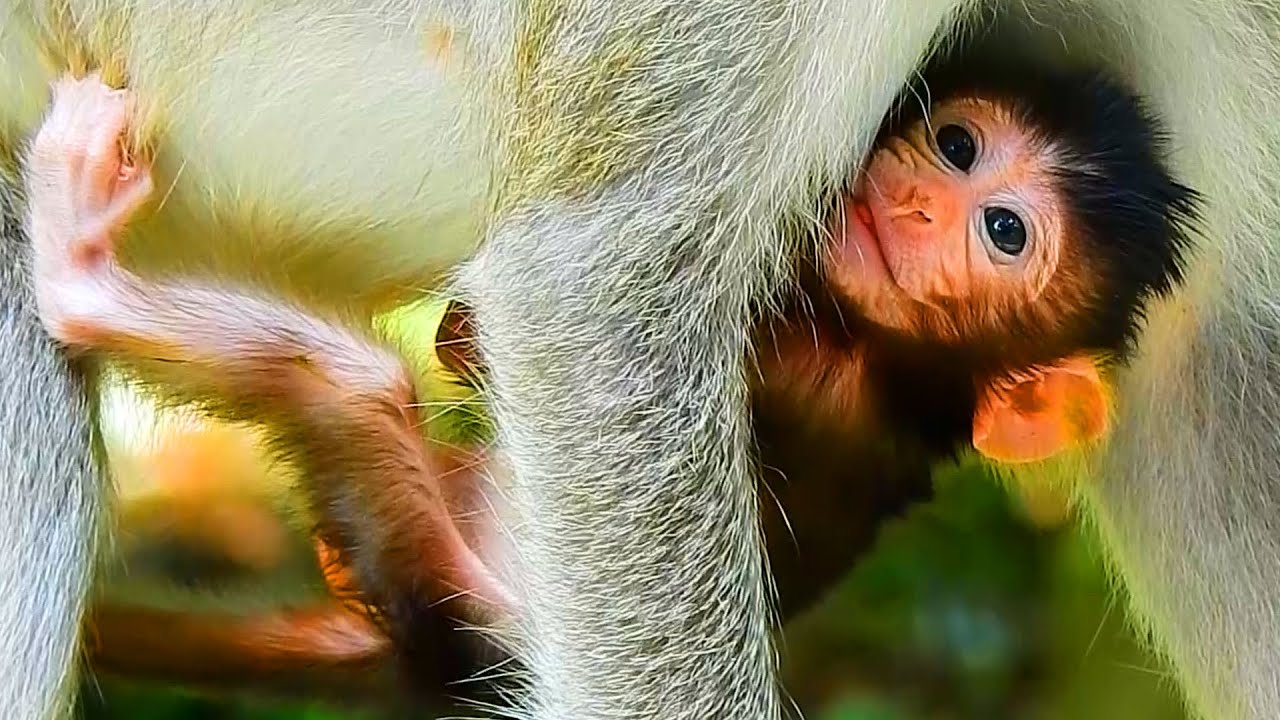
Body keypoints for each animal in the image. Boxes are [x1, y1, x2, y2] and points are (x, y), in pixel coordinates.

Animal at [0, 3, 1278, 719]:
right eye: (953, 142)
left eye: (1002, 230)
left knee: (347, 390)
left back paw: (80, 264)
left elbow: (1208, 362)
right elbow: (598, 277)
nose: (912, 202)